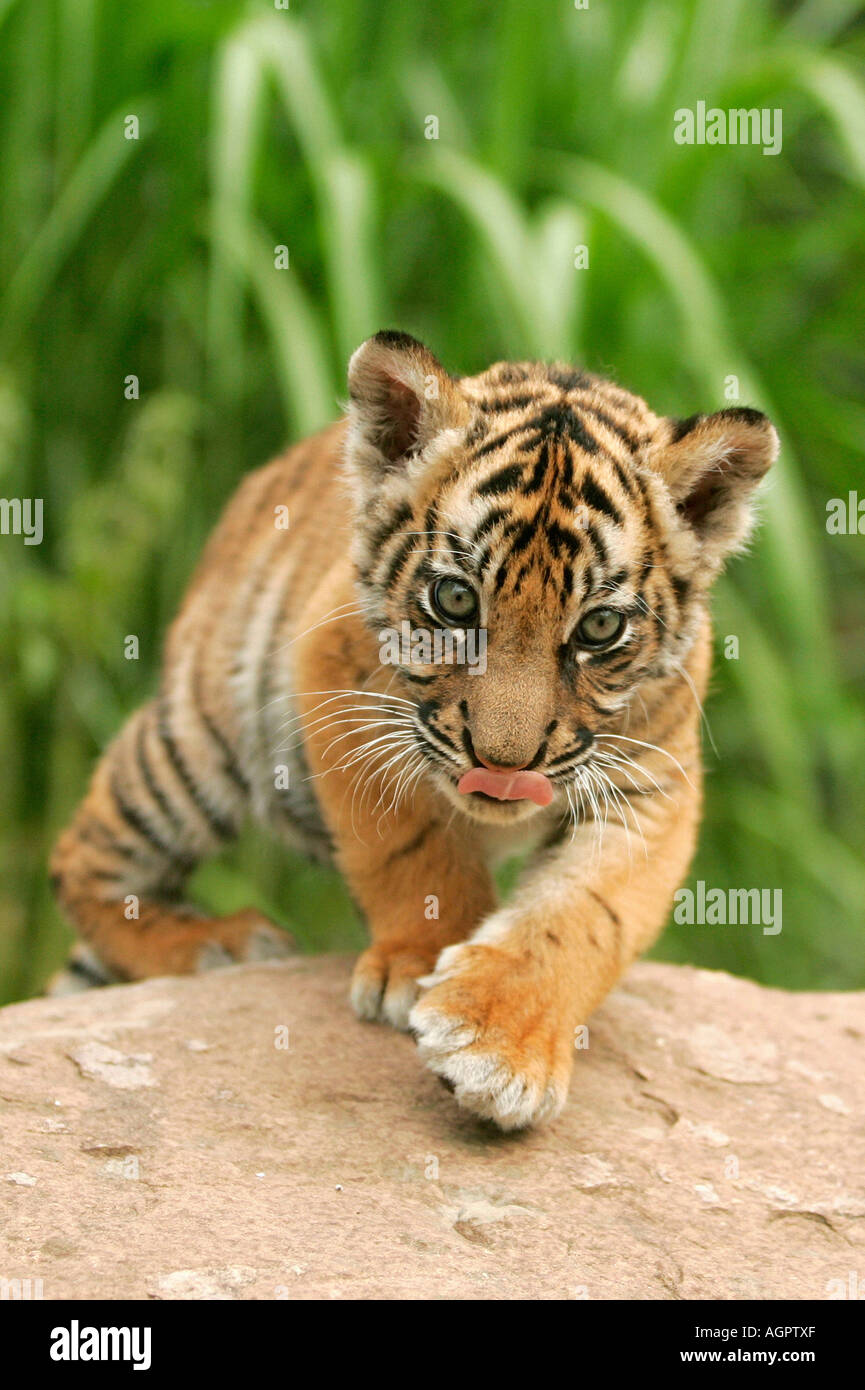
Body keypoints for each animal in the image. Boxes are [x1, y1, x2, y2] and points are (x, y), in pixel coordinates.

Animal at [50, 330, 778, 1130]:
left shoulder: (652, 788)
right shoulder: (339, 689)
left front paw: (496, 1043)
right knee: (80, 862)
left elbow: (583, 915)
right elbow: (414, 850)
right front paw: (419, 967)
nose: (504, 763)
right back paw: (223, 943)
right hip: (194, 738)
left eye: (598, 628)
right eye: (455, 600)